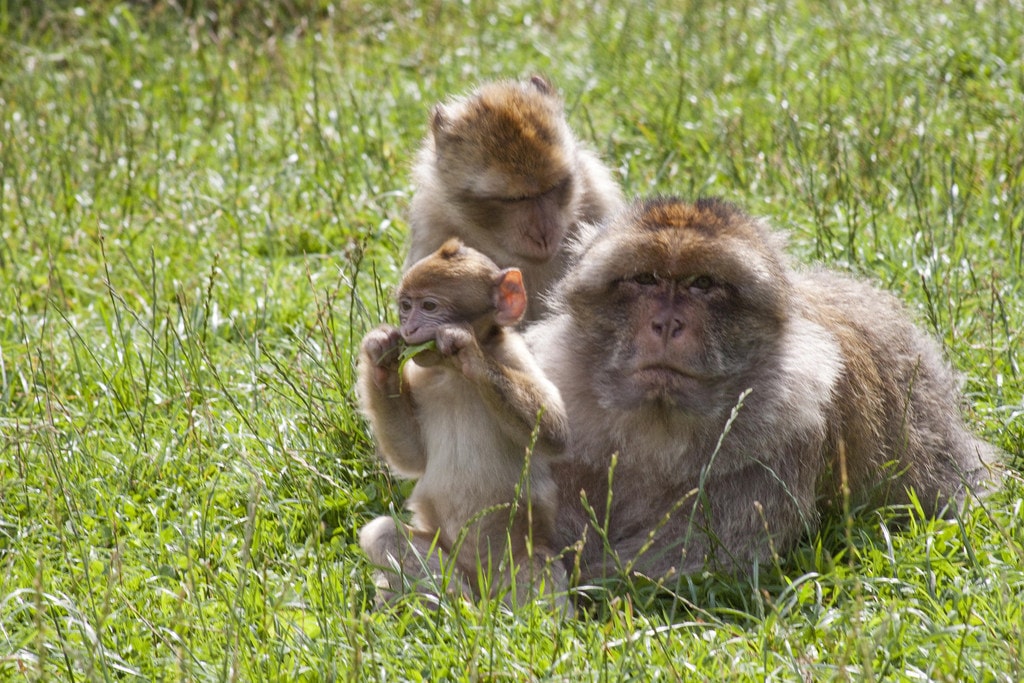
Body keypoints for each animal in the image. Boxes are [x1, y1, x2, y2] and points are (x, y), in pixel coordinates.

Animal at [357, 238, 572, 610]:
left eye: (429, 306)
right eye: (405, 306)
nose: (409, 329)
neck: (453, 375)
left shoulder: (515, 354)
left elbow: (554, 431)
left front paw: (465, 346)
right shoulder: (422, 374)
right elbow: (411, 456)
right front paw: (381, 353)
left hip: (514, 561)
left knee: (540, 567)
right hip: (448, 553)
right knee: (385, 535)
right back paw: (448, 604)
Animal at [525, 196, 998, 582]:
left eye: (702, 283)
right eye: (645, 279)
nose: (666, 324)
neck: (659, 427)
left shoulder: (779, 447)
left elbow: (699, 558)